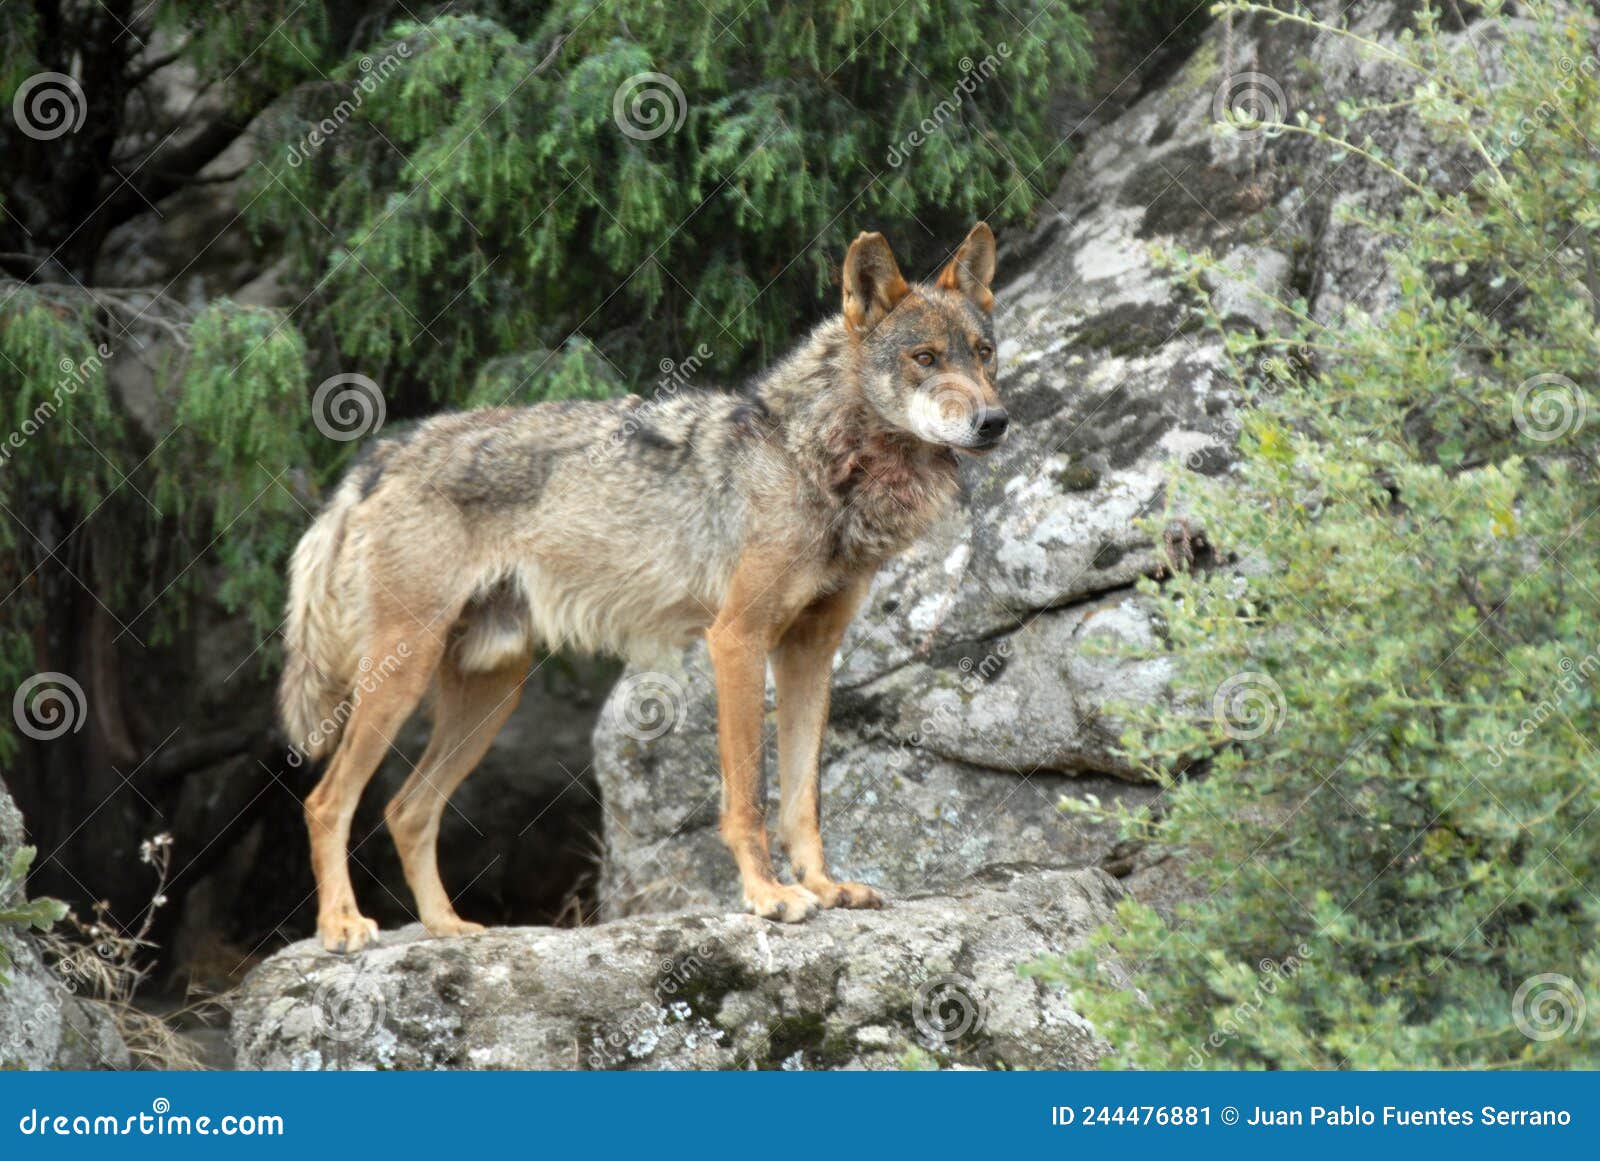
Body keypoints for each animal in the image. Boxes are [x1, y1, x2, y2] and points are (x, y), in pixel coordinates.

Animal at [278, 223, 1007, 952]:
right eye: (924, 357)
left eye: (985, 354)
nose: (995, 421)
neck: (814, 461)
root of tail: (386, 453)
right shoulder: (737, 640)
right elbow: (749, 795)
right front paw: (769, 896)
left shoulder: (810, 652)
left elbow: (803, 798)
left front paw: (826, 887)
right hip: (401, 675)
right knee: (325, 801)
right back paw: (342, 924)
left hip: (492, 693)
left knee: (407, 809)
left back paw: (449, 928)